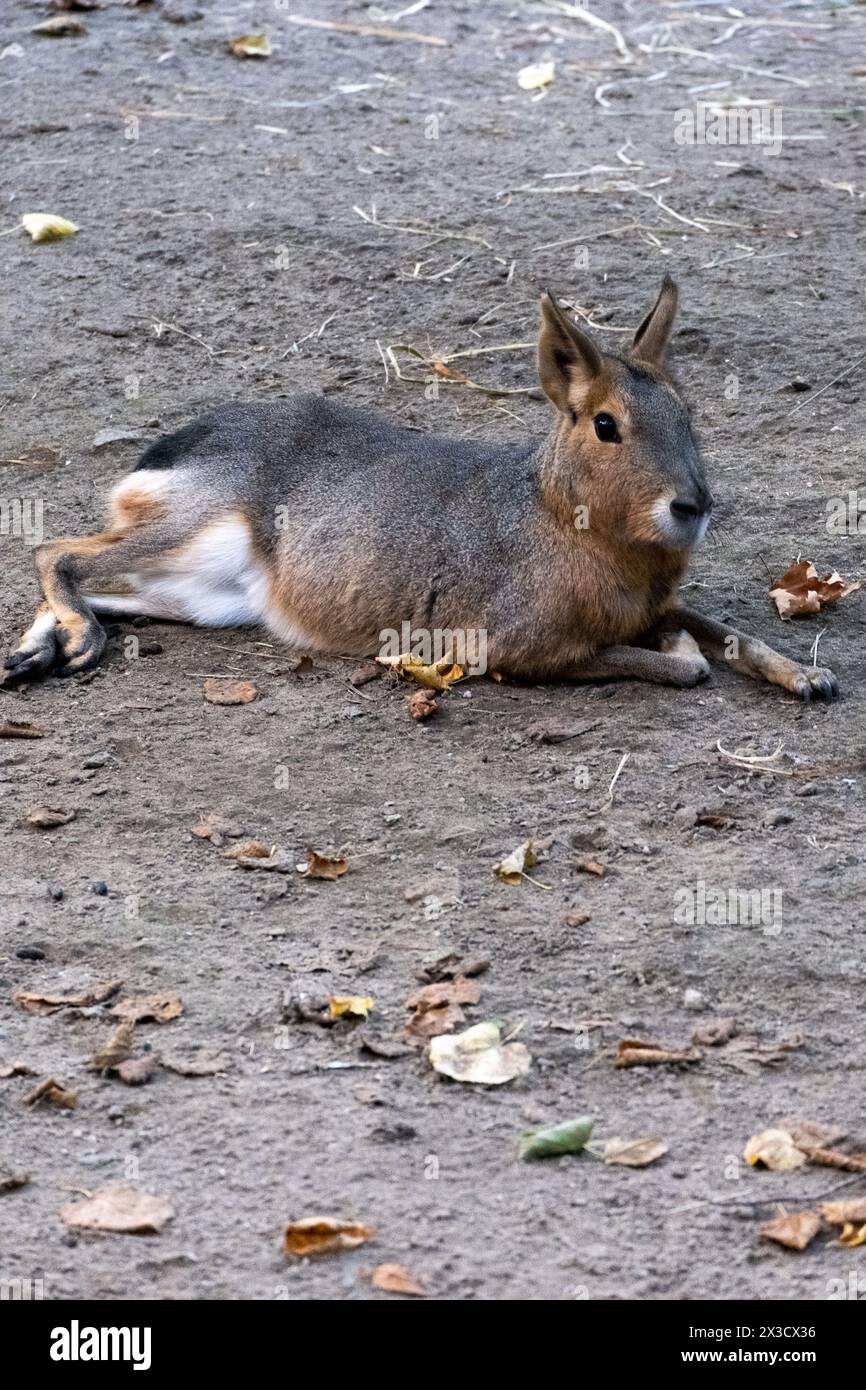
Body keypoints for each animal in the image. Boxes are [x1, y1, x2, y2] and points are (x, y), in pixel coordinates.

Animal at [3, 277, 838, 702]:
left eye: (687, 413)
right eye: (607, 425)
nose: (691, 506)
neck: (570, 525)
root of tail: (172, 448)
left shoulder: (658, 602)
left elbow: (730, 635)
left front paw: (810, 676)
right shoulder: (523, 649)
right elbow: (683, 662)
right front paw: (686, 653)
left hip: (207, 595)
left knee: (104, 587)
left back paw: (35, 656)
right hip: (202, 528)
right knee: (58, 552)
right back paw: (71, 642)